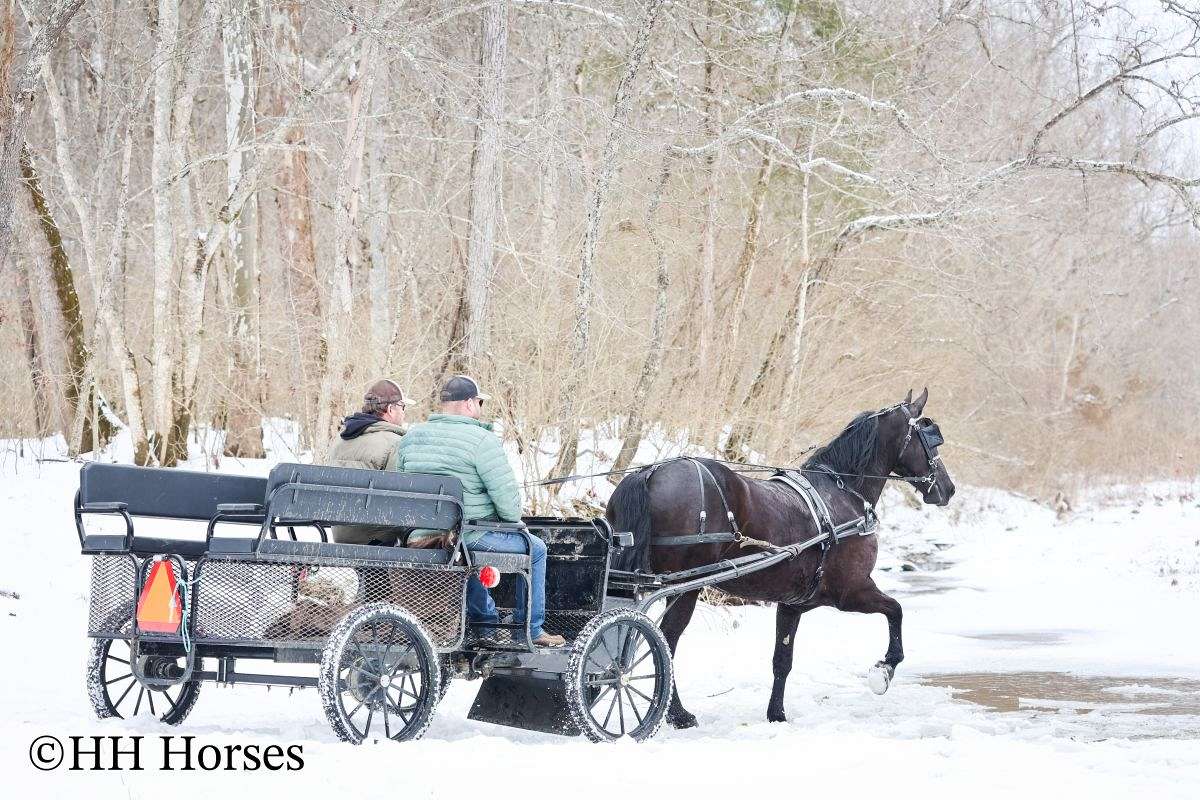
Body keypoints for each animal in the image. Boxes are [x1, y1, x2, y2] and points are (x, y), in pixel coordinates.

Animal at [606, 388, 956, 727]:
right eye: (930, 435)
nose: (948, 488)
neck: (844, 493)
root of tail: (650, 472)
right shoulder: (851, 592)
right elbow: (896, 611)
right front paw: (884, 670)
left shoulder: (792, 605)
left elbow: (782, 661)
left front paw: (776, 714)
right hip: (685, 589)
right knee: (665, 641)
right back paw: (676, 713)